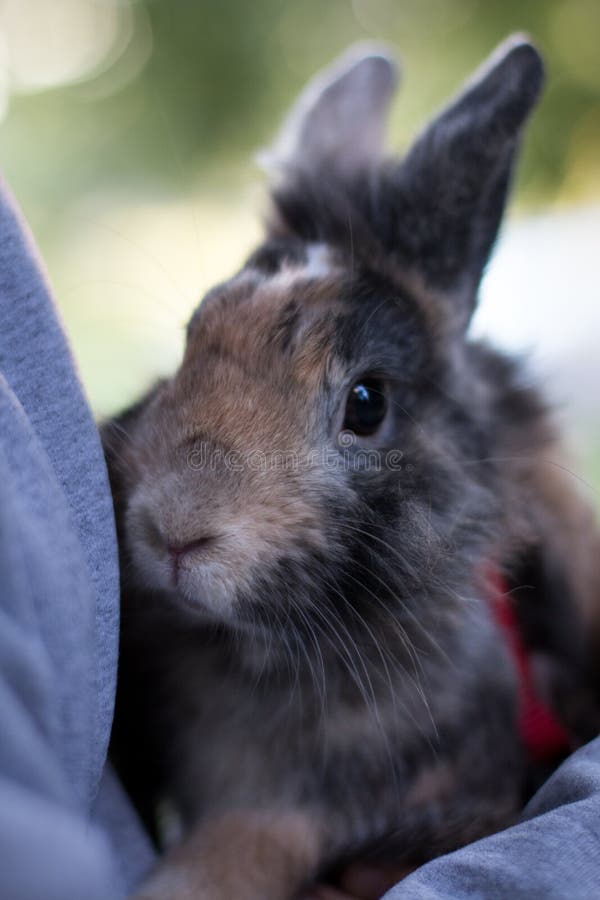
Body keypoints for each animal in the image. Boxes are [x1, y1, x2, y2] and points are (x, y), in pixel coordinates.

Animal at [103, 35, 600, 900]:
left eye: (367, 403)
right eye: (194, 336)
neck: (254, 651)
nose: (174, 530)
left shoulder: (312, 809)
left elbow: (231, 857)